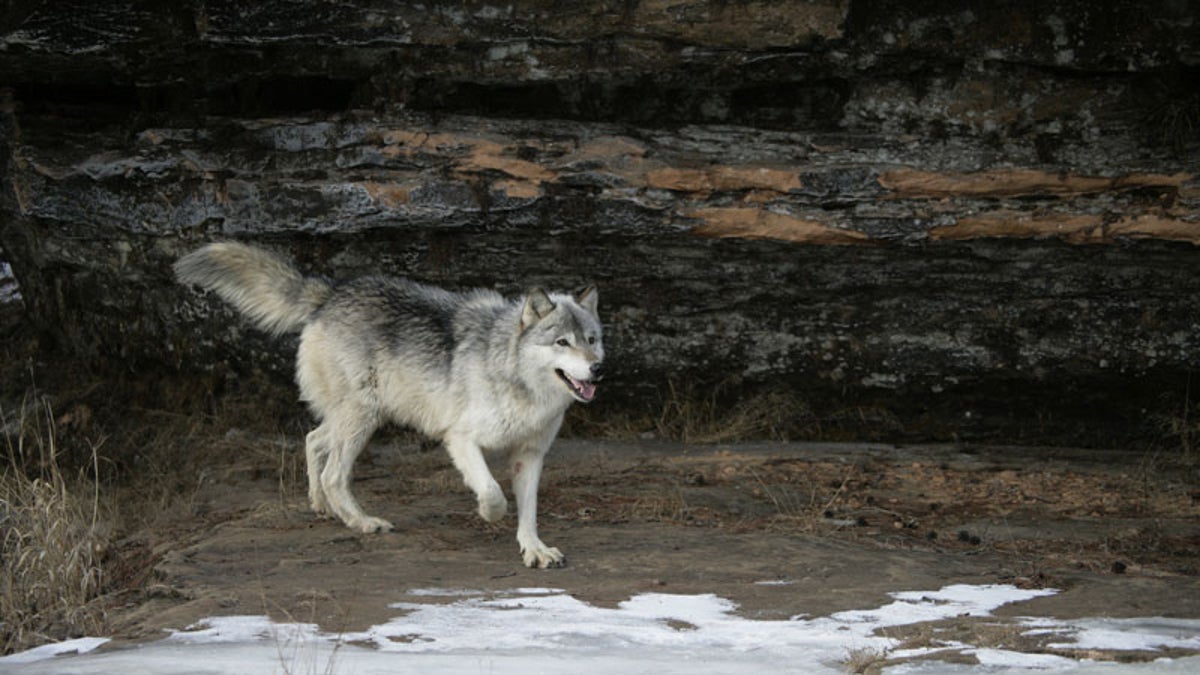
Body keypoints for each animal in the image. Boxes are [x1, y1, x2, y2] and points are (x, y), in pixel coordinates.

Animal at [175, 242, 603, 568]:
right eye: (562, 342)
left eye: (592, 339)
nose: (597, 369)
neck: (518, 378)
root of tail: (331, 293)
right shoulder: (460, 439)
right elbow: (493, 492)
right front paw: (489, 515)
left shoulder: (529, 455)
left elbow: (529, 511)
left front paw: (535, 550)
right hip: (362, 419)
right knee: (333, 473)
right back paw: (362, 522)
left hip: (360, 417)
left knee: (313, 440)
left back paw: (322, 507)